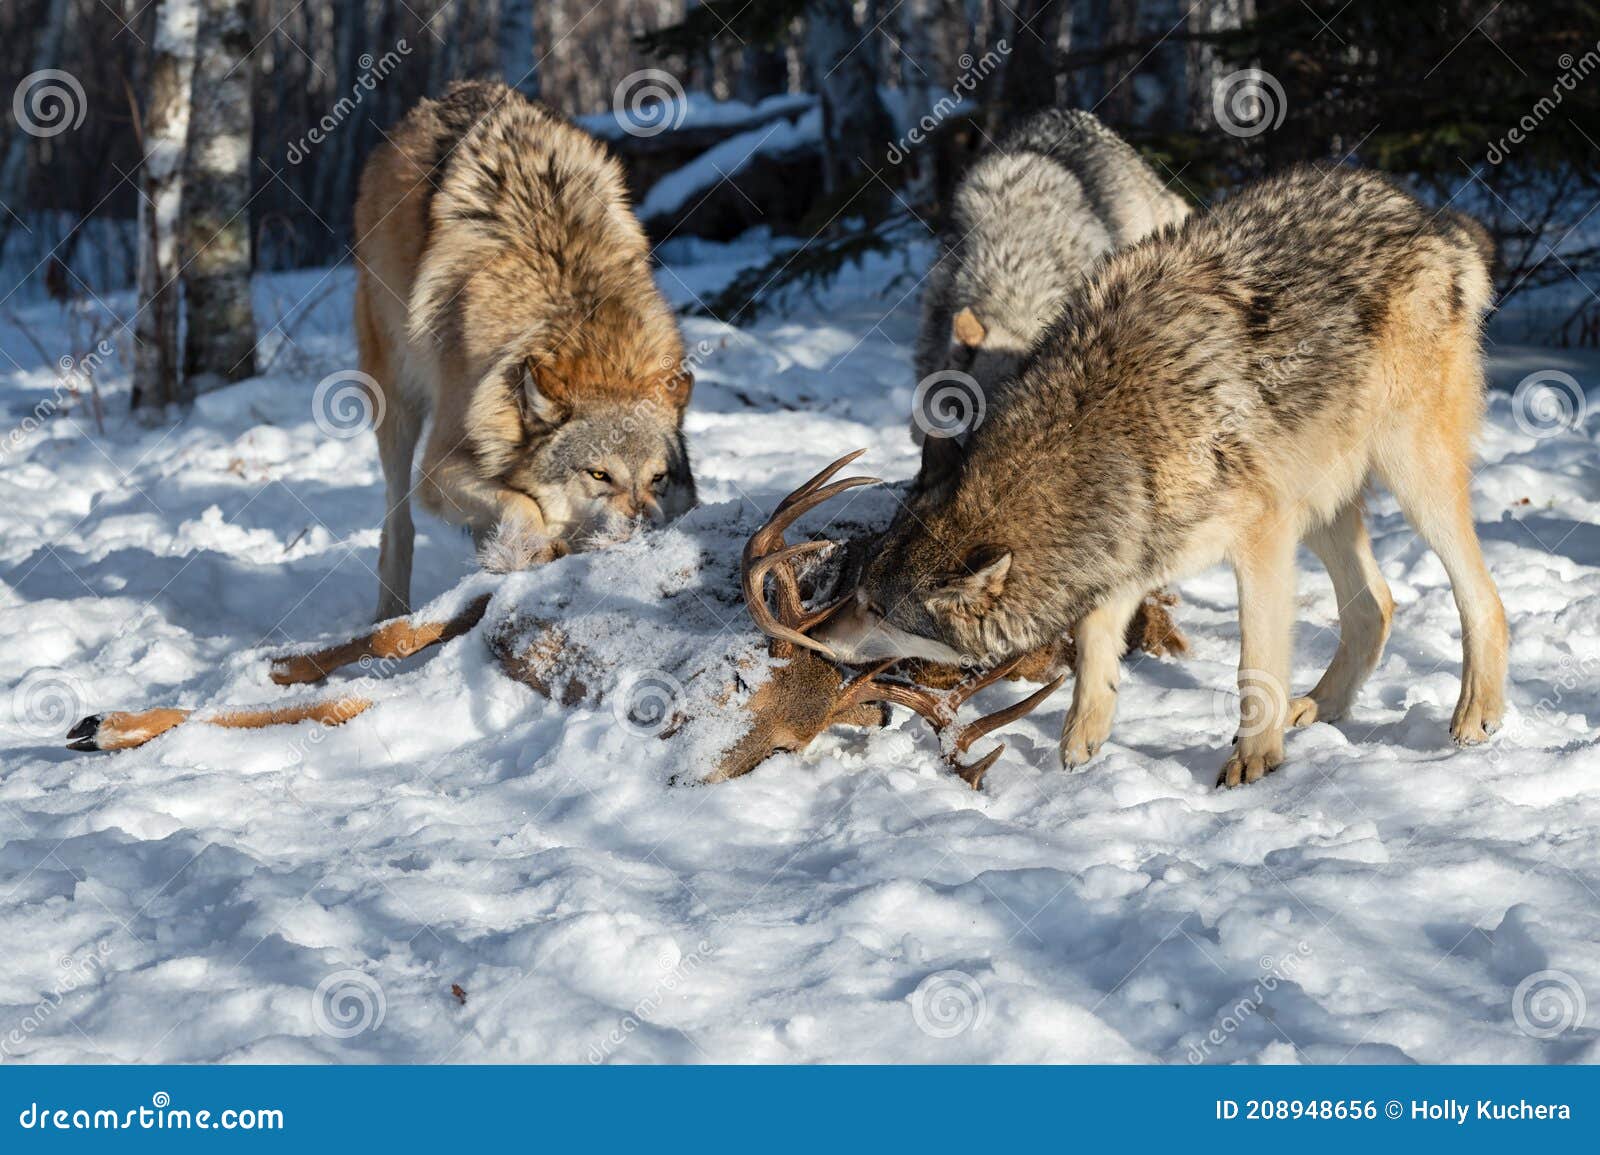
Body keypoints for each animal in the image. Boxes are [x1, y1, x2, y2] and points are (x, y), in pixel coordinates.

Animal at [65, 453, 1065, 790]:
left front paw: (112, 723)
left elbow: (351, 699)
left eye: (792, 747)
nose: (696, 777)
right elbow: (376, 647)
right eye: (745, 677)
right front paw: (109, 717)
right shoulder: (512, 603)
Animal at [353, 81, 695, 621]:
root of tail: (457, 90)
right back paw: (392, 611)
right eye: (600, 474)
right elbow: (523, 502)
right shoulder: (439, 467)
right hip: (395, 401)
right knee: (397, 519)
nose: (644, 530)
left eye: (658, 478)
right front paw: (528, 547)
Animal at [823, 165, 1507, 787]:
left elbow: (1253, 664)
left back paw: (1476, 713)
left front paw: (1255, 760)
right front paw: (1081, 742)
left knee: (1482, 597)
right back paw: (1319, 707)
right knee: (1377, 606)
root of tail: (1429, 219)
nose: (817, 641)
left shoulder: (1260, 541)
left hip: (1411, 475)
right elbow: (1094, 641)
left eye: (874, 609)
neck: (1111, 437)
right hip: (1317, 497)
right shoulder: (1132, 545)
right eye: (857, 594)